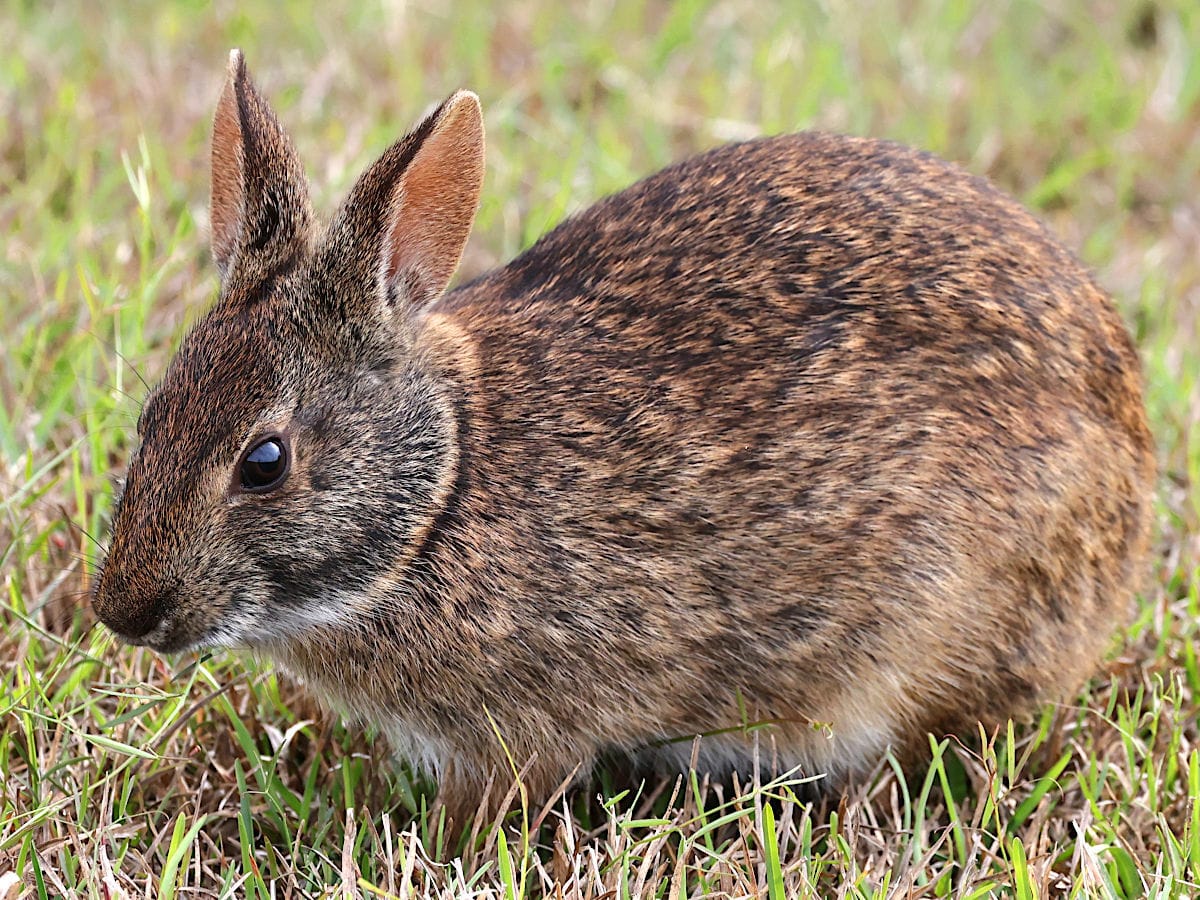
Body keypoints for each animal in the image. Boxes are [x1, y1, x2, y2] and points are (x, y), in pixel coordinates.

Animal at [92, 50, 1156, 826]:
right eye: (152, 417)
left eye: (264, 465)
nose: (125, 612)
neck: (439, 499)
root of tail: (1130, 433)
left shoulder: (524, 731)